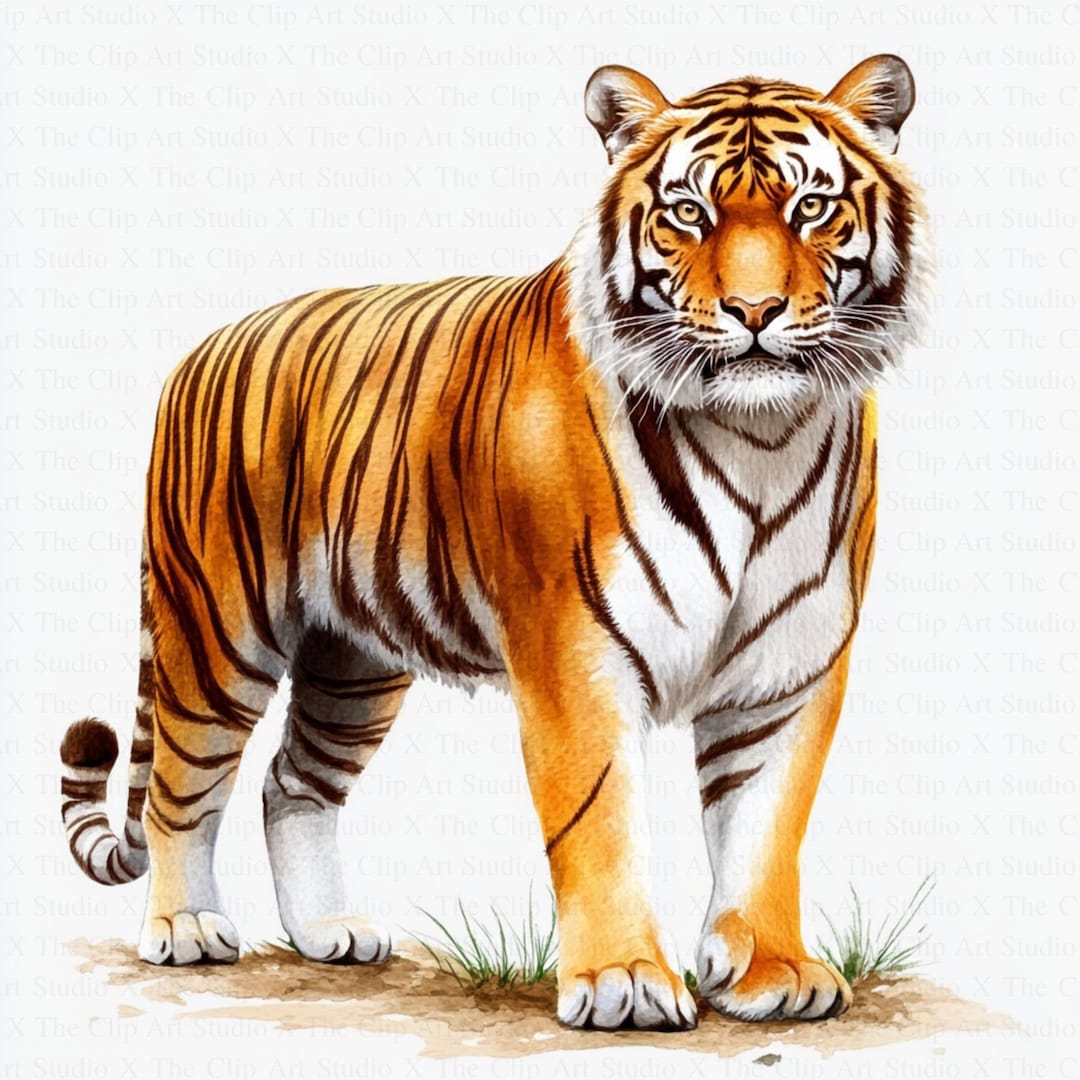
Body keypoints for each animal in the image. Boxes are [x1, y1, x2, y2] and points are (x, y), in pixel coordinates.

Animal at [59, 55, 928, 1030]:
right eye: (687, 212)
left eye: (811, 207)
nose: (753, 310)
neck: (761, 437)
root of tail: (200, 349)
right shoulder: (576, 654)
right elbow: (599, 821)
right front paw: (626, 981)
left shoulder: (792, 666)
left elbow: (765, 826)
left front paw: (771, 973)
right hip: (216, 634)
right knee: (180, 787)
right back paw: (184, 928)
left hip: (353, 662)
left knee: (293, 780)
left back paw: (329, 931)